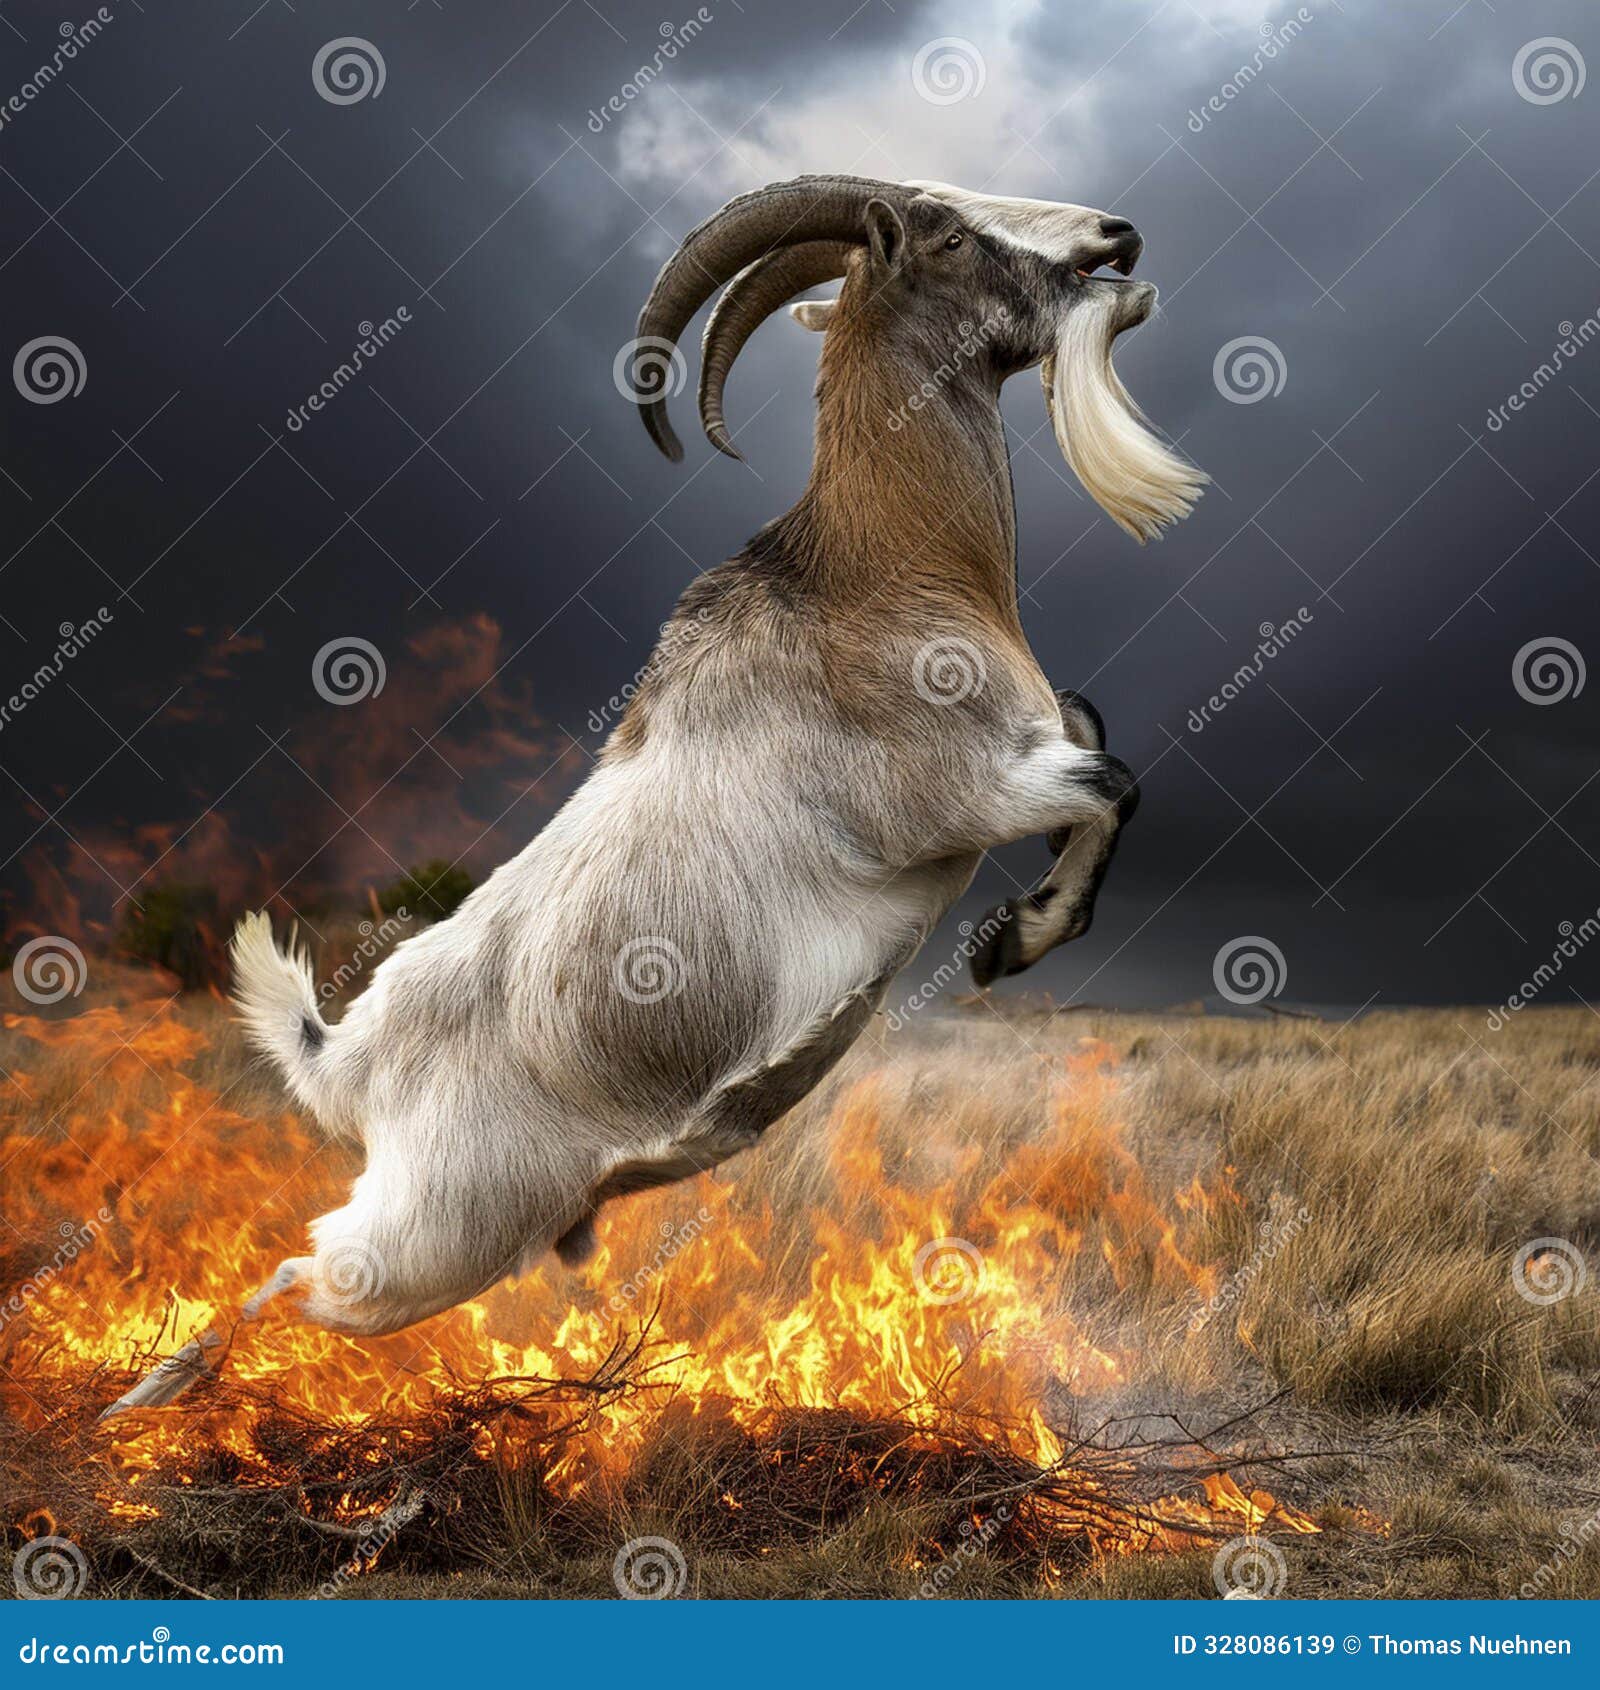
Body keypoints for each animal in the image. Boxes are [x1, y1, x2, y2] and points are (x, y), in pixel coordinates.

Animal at [102, 175, 1203, 1415]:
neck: (876, 573)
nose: (1117, 238)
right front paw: (1011, 940)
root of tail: (347, 1059)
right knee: (297, 1274)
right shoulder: (959, 800)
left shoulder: (1029, 741)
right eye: (950, 232)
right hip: (427, 1245)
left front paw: (1016, 928)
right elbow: (1111, 783)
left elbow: (1092, 732)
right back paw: (144, 1394)